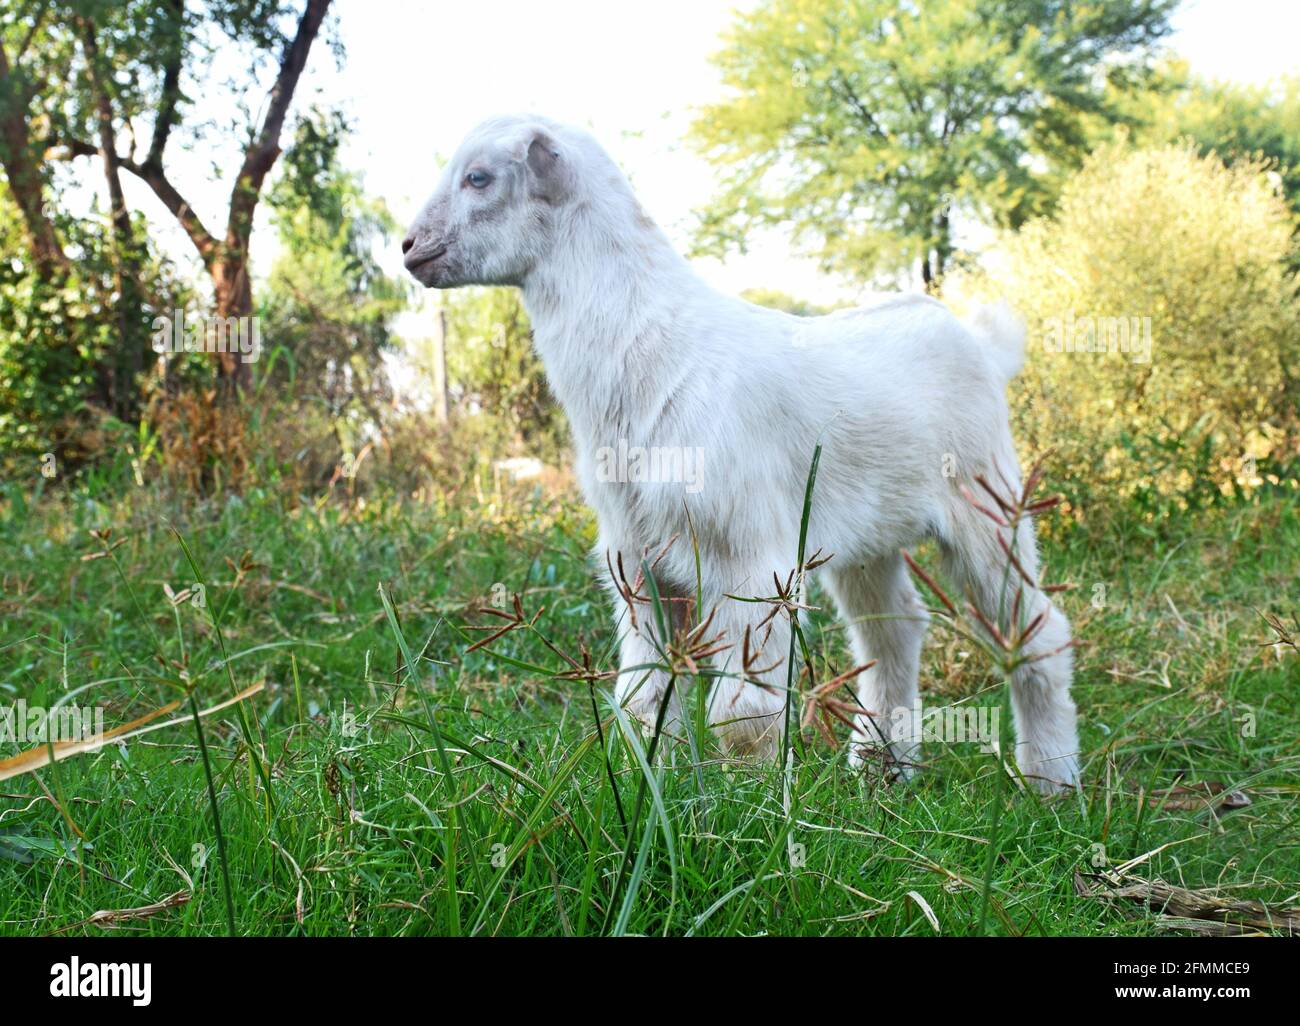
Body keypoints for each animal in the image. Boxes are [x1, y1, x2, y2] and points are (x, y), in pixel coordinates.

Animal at [402, 115, 1080, 791]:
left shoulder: (749, 556)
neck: (653, 351)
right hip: (869, 536)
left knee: (1035, 627)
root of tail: (981, 343)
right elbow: (642, 697)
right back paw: (881, 770)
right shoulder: (636, 558)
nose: (409, 247)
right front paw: (653, 783)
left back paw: (1049, 781)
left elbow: (742, 712)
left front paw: (744, 801)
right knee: (893, 631)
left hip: (988, 502)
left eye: (478, 177)